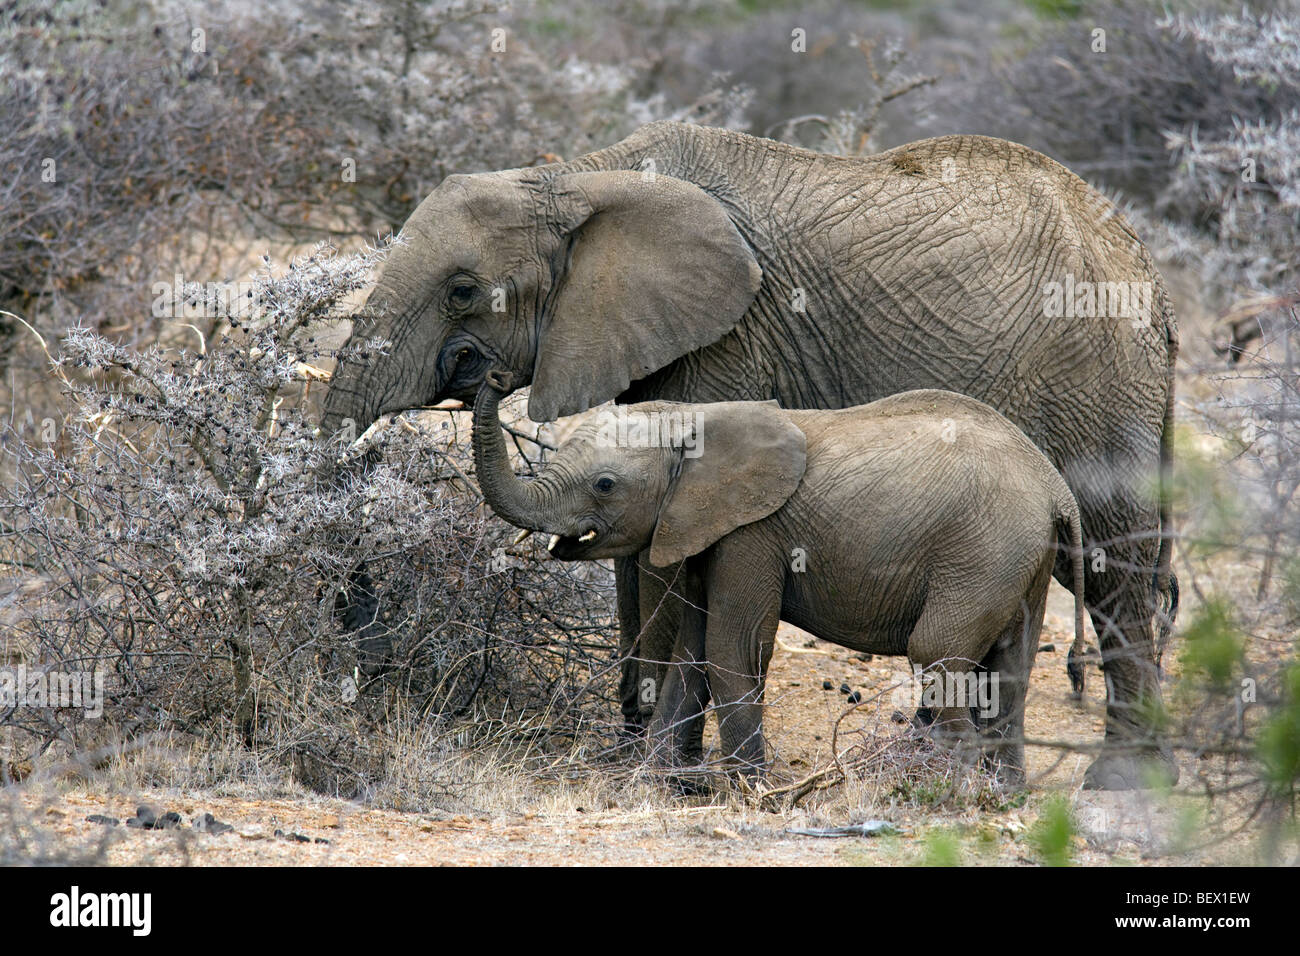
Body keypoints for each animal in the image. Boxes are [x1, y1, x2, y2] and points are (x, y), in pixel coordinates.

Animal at [470, 369, 1089, 786]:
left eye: (604, 484)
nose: (494, 375)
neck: (692, 420)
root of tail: (1058, 491)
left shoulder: (752, 534)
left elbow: (731, 647)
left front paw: (749, 789)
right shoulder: (702, 527)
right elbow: (693, 650)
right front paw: (664, 781)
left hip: (984, 551)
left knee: (937, 651)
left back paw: (952, 792)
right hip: (1019, 559)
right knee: (1009, 670)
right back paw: (1004, 795)